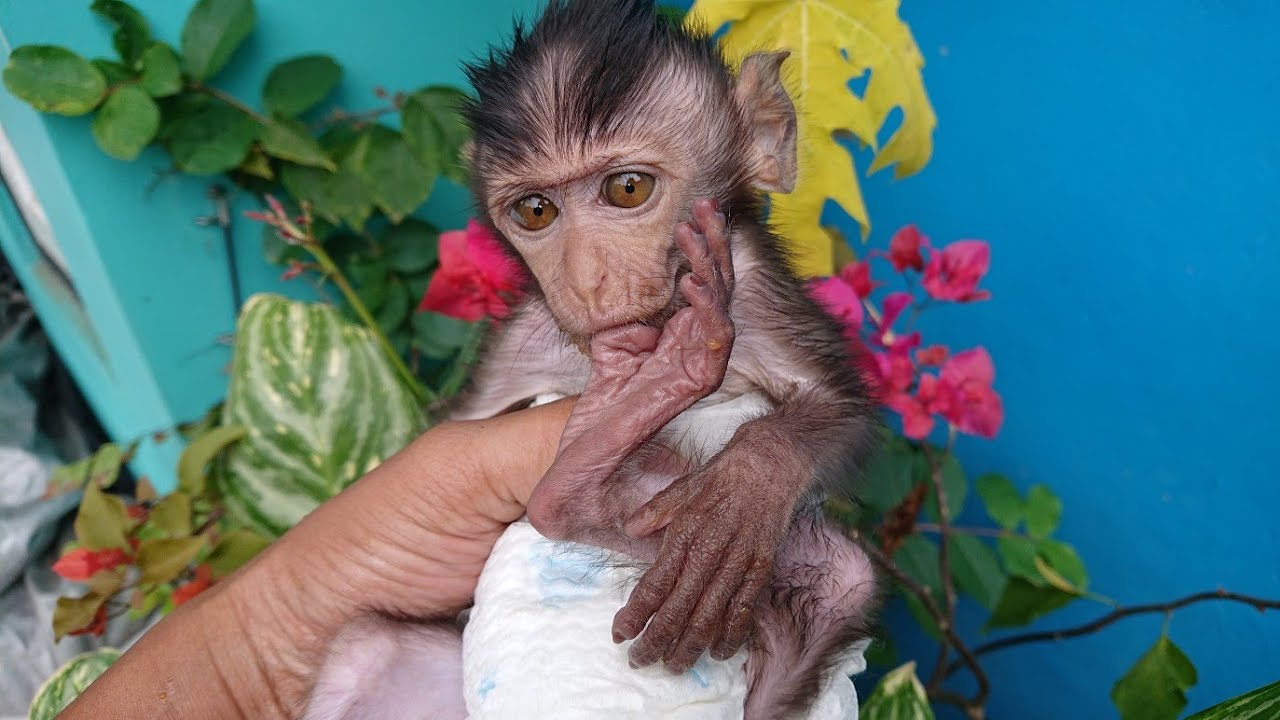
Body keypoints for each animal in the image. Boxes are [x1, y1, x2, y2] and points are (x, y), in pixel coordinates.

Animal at [302, 1, 879, 718]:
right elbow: (458, 424)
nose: (585, 281)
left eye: (627, 190)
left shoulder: (755, 292)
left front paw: (742, 494)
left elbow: (838, 408)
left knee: (842, 581)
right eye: (536, 211)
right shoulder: (526, 334)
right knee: (365, 646)